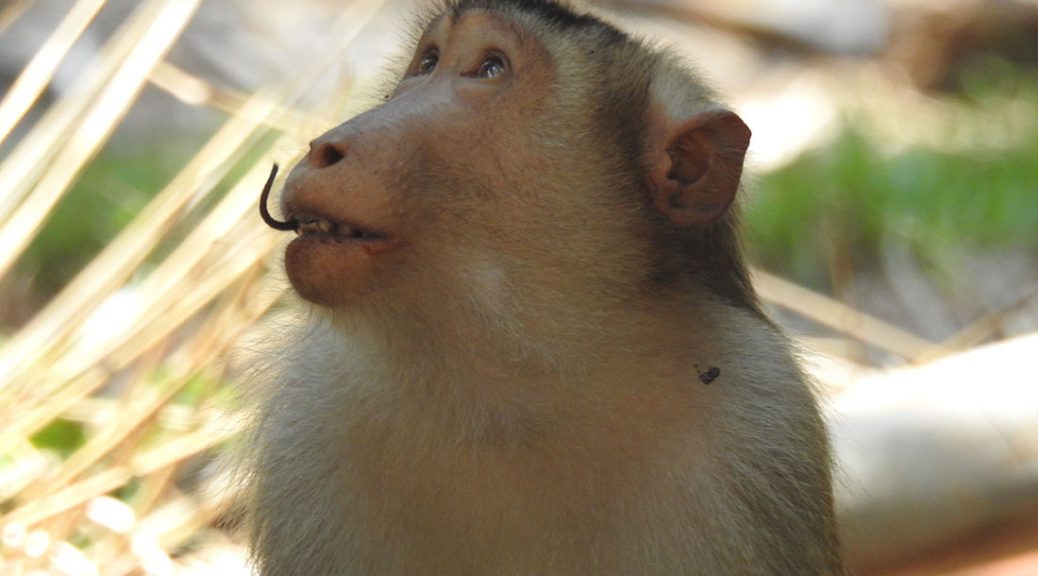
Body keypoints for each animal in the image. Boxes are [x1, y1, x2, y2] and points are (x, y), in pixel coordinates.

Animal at [246, 0, 844, 574]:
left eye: (490, 68)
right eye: (428, 62)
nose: (325, 148)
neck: (517, 386)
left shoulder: (756, 435)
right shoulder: (313, 415)